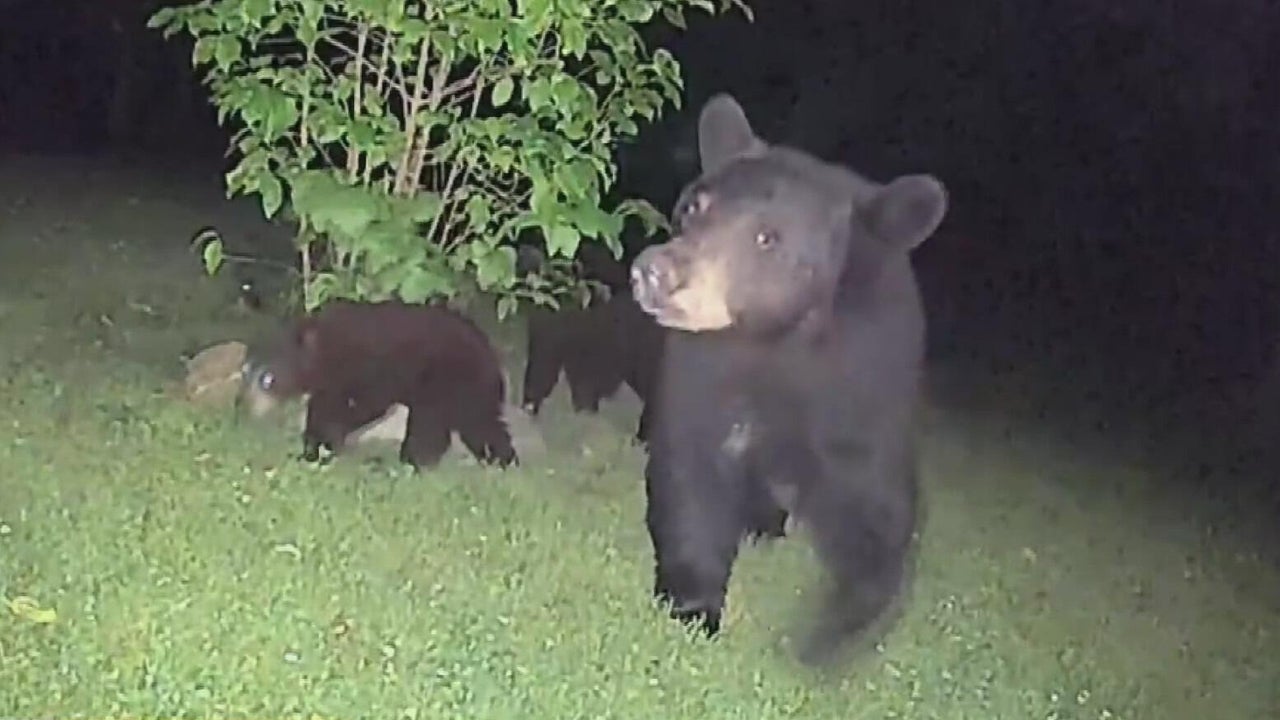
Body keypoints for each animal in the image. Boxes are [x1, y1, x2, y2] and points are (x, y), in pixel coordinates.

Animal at [240, 299, 517, 469]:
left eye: (267, 378)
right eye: (244, 372)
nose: (246, 408)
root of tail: (492, 357)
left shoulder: (369, 367)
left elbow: (360, 406)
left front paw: (326, 444)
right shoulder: (332, 382)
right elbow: (322, 406)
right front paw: (312, 448)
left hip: (445, 379)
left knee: (431, 423)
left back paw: (412, 461)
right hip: (467, 391)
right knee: (480, 424)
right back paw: (502, 459)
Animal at [629, 93, 947, 664]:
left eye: (767, 237)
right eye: (695, 207)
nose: (655, 273)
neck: (780, 351)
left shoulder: (864, 395)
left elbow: (880, 514)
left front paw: (828, 635)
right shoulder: (704, 378)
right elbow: (691, 474)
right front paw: (694, 604)